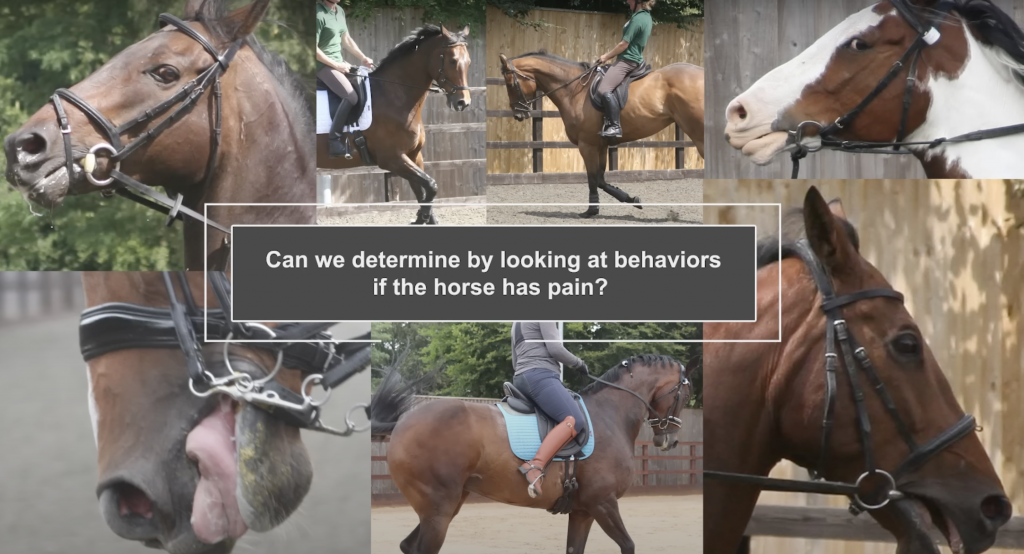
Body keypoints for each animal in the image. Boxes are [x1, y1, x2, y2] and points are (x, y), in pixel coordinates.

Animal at [316, 25, 473, 225]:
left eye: (468, 62)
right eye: (452, 61)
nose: (463, 102)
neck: (395, 96)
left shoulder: (413, 155)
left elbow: (422, 190)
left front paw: (425, 217)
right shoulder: (392, 159)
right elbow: (431, 185)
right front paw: (422, 216)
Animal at [371, 354, 691, 554]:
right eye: (684, 395)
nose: (671, 439)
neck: (609, 416)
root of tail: (403, 421)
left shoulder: (583, 511)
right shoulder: (603, 504)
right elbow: (628, 545)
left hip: (444, 507)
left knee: (408, 546)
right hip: (438, 511)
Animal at [498, 52, 705, 218]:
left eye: (510, 83)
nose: (518, 114)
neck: (575, 90)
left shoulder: (587, 145)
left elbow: (592, 179)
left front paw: (591, 211)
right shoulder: (601, 145)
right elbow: (601, 180)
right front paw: (632, 199)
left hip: (698, 133)